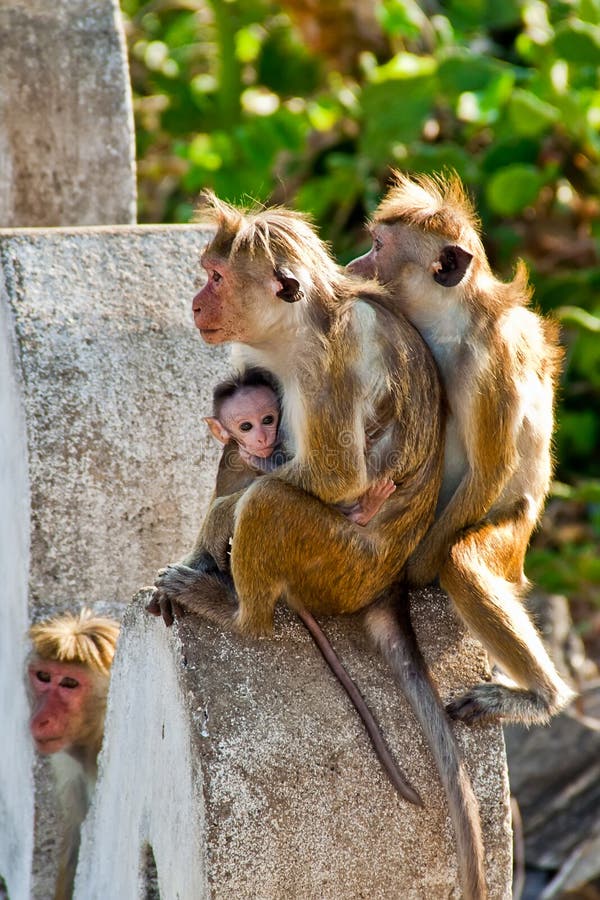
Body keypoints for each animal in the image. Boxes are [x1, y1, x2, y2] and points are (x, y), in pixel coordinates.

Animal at [148, 194, 490, 900]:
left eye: (215, 277)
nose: (195, 303)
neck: (299, 324)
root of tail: (385, 587)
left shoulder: (325, 365)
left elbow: (335, 479)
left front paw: (220, 526)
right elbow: (245, 447)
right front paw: (198, 546)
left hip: (337, 567)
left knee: (270, 502)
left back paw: (235, 611)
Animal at [347, 170, 575, 729]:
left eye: (377, 246)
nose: (355, 264)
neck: (451, 321)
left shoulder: (489, 361)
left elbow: (491, 468)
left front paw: (416, 574)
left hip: (512, 536)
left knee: (464, 562)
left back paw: (541, 697)